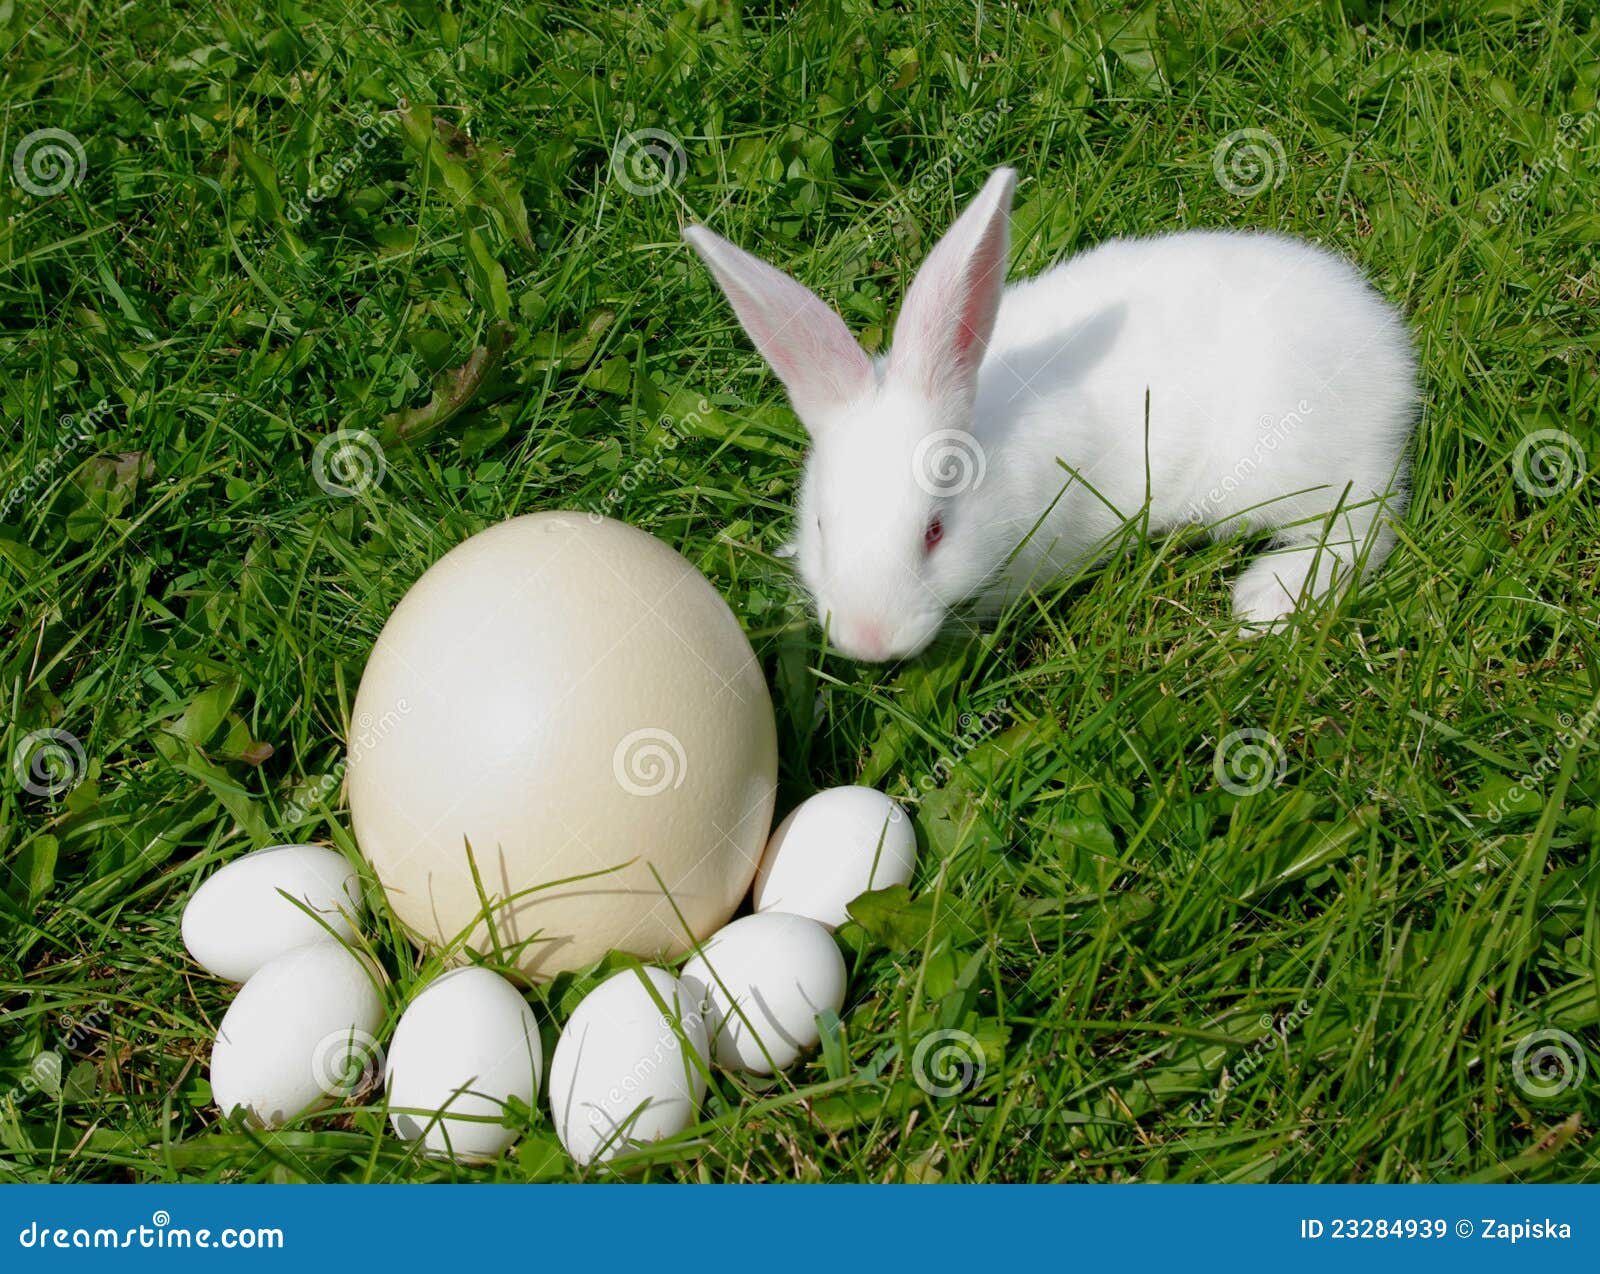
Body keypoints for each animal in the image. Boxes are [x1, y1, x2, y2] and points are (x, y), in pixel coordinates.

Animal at [684, 167, 1417, 662]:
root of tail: (1387, 349)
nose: (870, 641)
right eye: (821, 527)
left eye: (934, 532)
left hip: (1295, 472)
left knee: (1363, 527)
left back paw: (1268, 600)